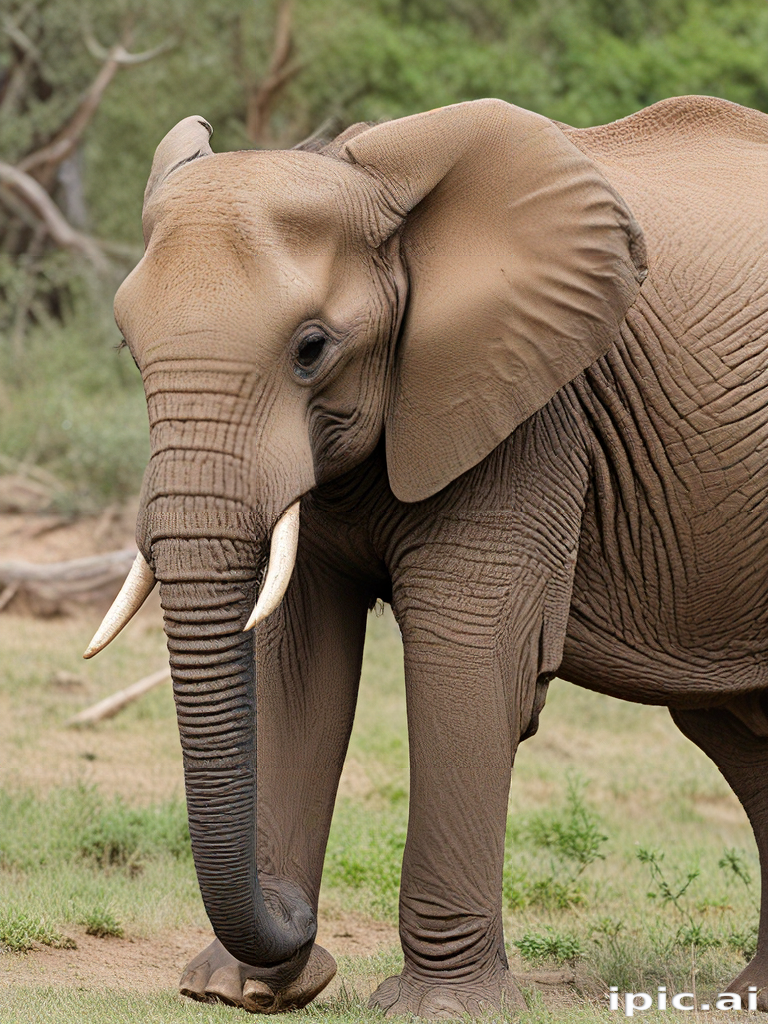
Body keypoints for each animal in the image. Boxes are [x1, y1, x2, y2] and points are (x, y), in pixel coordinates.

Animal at [84, 94, 768, 1017]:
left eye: (312, 348)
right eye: (128, 344)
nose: (300, 922)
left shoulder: (532, 413)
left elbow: (468, 658)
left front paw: (435, 1007)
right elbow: (302, 663)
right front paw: (244, 991)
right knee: (737, 734)